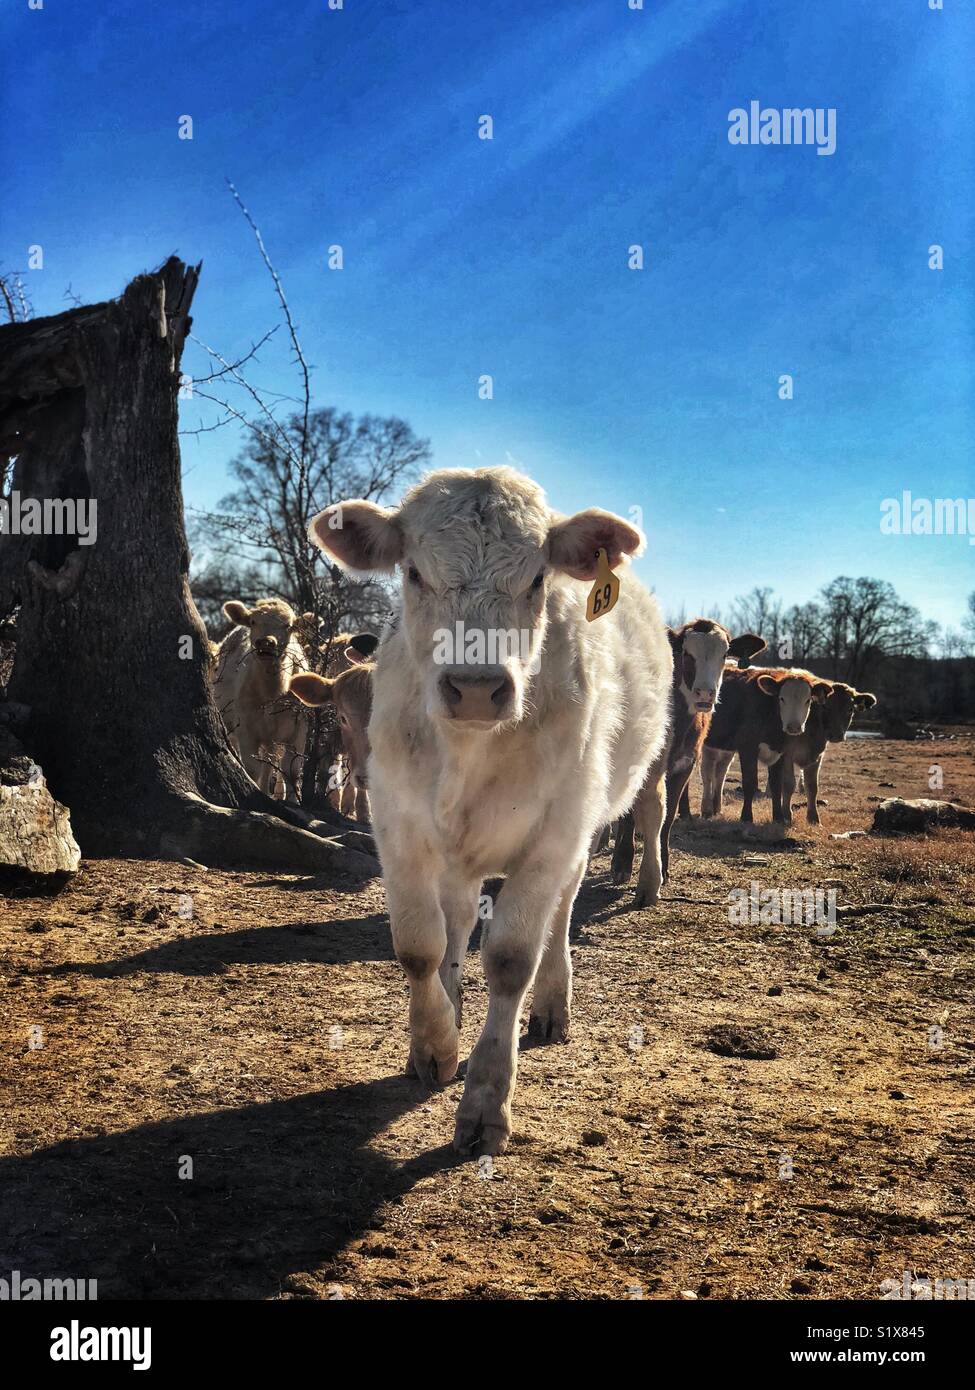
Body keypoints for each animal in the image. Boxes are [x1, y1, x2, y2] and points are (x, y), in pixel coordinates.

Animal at [211, 597, 311, 806]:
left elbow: (292, 770)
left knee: (272, 763)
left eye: (288, 625)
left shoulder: (299, 731)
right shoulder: (247, 730)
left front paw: (293, 801)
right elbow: (252, 769)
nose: (265, 642)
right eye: (253, 622)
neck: (271, 692)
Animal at [307, 461, 673, 1156]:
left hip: (583, 825)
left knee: (561, 911)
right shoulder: (397, 826)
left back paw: (552, 1004)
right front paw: (434, 1046)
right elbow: (420, 946)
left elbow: (509, 961)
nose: (475, 688)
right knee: (454, 921)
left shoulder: (554, 835)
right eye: (414, 573)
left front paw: (484, 1101)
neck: (467, 758)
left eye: (537, 579)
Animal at [611, 619, 762, 900]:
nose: (705, 694)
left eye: (725, 654)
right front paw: (622, 863)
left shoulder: (685, 765)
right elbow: (629, 815)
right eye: (686, 654)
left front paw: (664, 867)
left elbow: (668, 818)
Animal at [700, 664, 828, 817]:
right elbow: (750, 782)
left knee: (717, 772)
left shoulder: (781, 750)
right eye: (781, 698)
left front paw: (778, 817)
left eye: (808, 700)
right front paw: (746, 817)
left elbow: (776, 785)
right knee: (705, 772)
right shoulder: (748, 747)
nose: (793, 727)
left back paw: (715, 809)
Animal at [767, 675, 873, 817]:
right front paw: (786, 814)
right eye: (825, 707)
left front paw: (813, 817)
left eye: (850, 709)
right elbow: (788, 784)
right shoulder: (786, 754)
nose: (837, 735)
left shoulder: (817, 755)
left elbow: (812, 786)